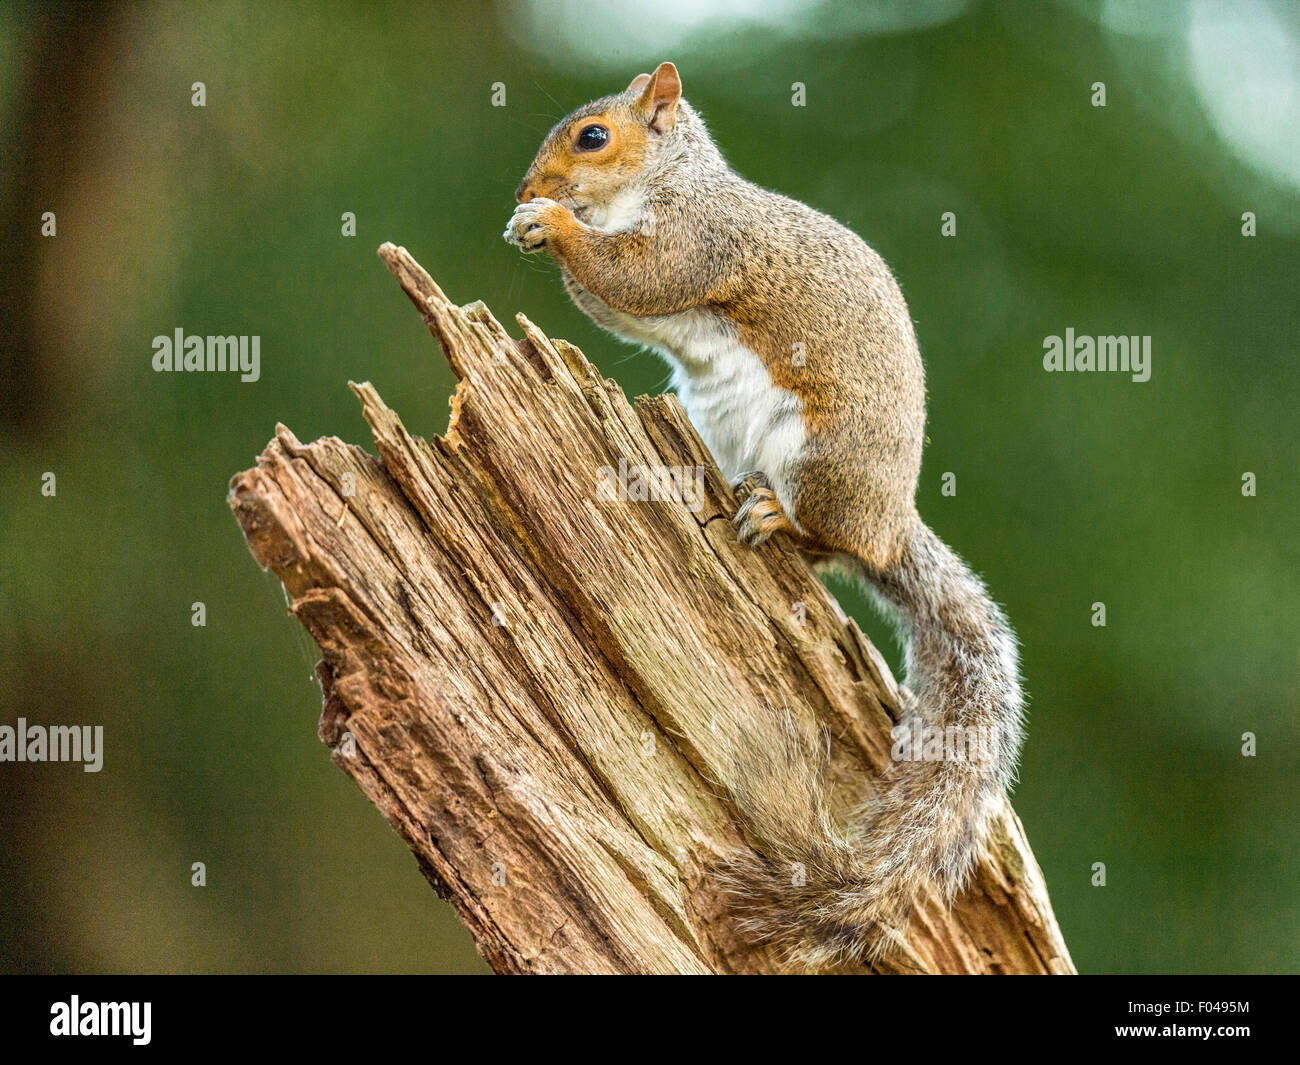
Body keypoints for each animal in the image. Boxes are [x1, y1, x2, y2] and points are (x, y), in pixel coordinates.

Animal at [504, 61, 1024, 969]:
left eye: (593, 136)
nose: (530, 187)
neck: (667, 180)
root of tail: (893, 523)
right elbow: (616, 300)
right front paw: (532, 227)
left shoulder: (699, 240)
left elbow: (639, 274)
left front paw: (554, 224)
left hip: (821, 459)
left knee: (832, 540)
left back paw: (778, 520)